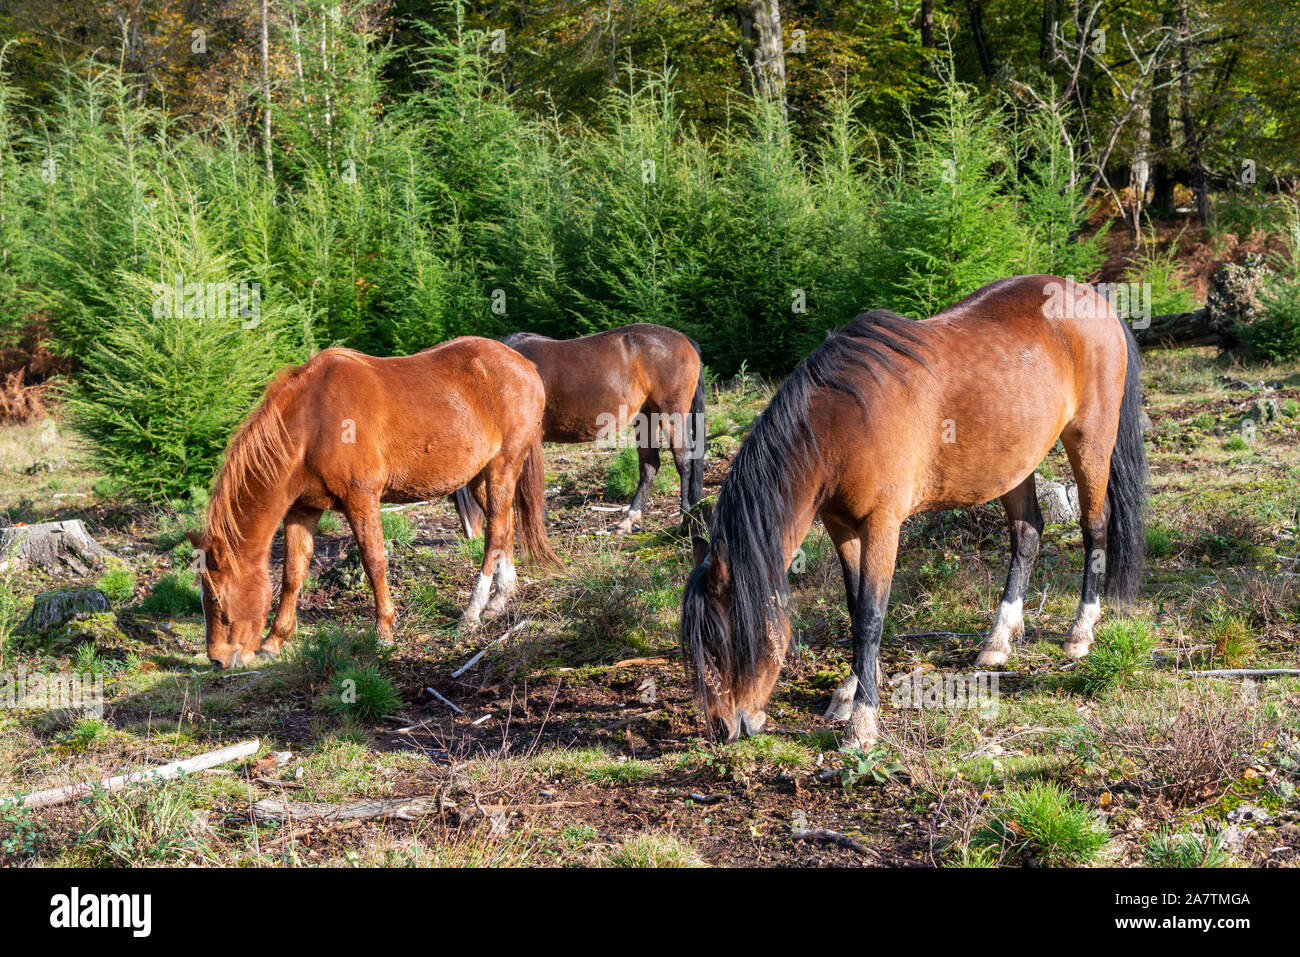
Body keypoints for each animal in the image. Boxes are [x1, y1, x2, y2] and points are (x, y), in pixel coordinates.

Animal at [186, 338, 558, 670]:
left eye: (216, 597)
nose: (217, 659)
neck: (313, 422)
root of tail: (525, 366)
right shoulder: (302, 509)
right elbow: (293, 572)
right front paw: (274, 642)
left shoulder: (361, 499)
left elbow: (373, 561)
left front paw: (383, 632)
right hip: (483, 477)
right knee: (504, 527)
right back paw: (499, 600)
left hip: (501, 468)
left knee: (494, 535)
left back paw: (473, 611)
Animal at [451, 323, 706, 537]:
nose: (471, 535)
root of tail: (685, 340)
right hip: (646, 416)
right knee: (649, 466)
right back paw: (628, 521)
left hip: (671, 413)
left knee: (683, 460)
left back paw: (686, 515)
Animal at [680, 275, 1148, 748]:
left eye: (726, 642)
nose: (723, 728)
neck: (843, 420)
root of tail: (1092, 298)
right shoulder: (840, 525)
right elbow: (855, 606)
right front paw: (851, 689)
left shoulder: (882, 525)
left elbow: (870, 614)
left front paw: (862, 721)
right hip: (1016, 462)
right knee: (1028, 533)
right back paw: (998, 640)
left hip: (1090, 441)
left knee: (1094, 527)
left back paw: (1080, 632)